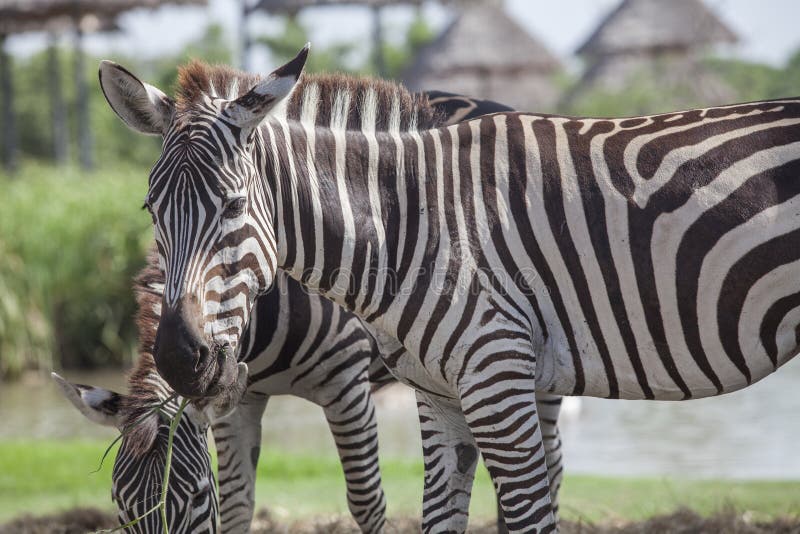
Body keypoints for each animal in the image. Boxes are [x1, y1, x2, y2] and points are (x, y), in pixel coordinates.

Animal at [101, 44, 800, 534]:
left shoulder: (458, 378)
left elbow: (419, 506)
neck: (405, 225)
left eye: (233, 206)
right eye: (150, 209)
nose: (179, 358)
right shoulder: (435, 392)